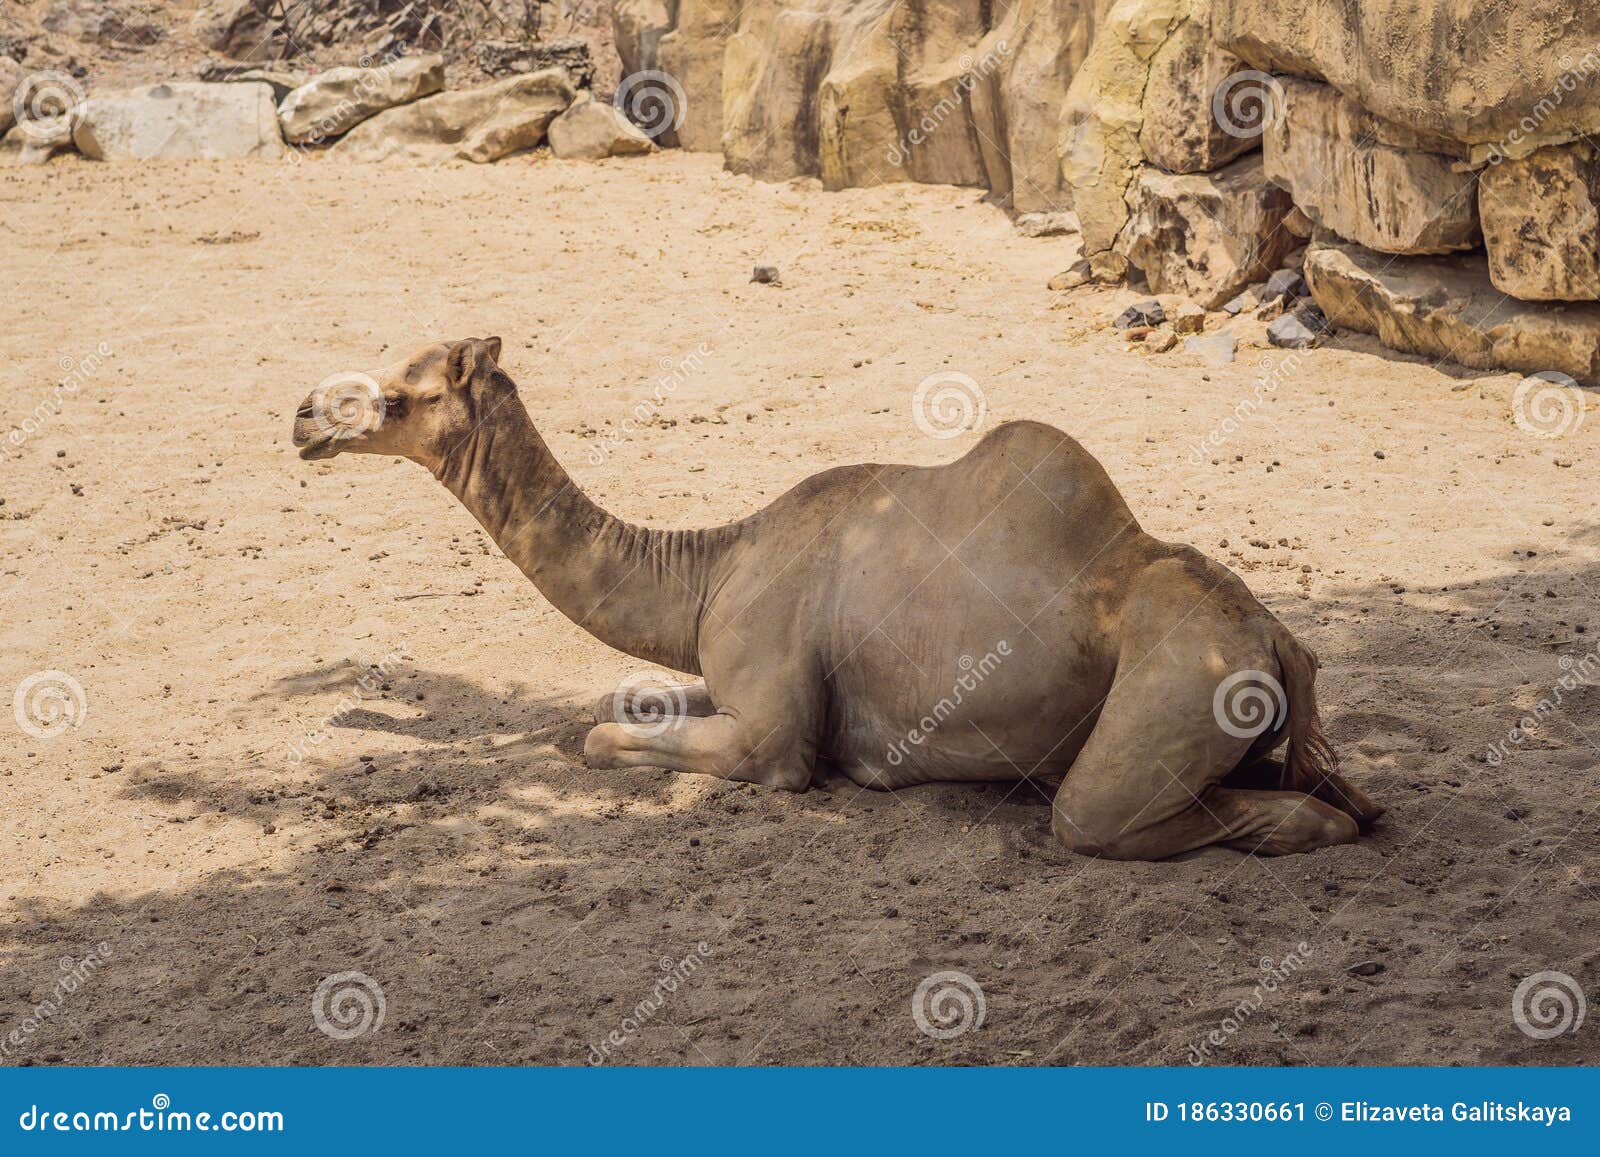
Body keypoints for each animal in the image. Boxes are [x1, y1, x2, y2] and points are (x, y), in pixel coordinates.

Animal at [293, 338, 1382, 859]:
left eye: (403, 392)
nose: (305, 413)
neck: (712, 569)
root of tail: (1278, 639)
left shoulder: (774, 736)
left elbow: (610, 738)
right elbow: (610, 704)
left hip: (1171, 686)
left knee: (1102, 814)